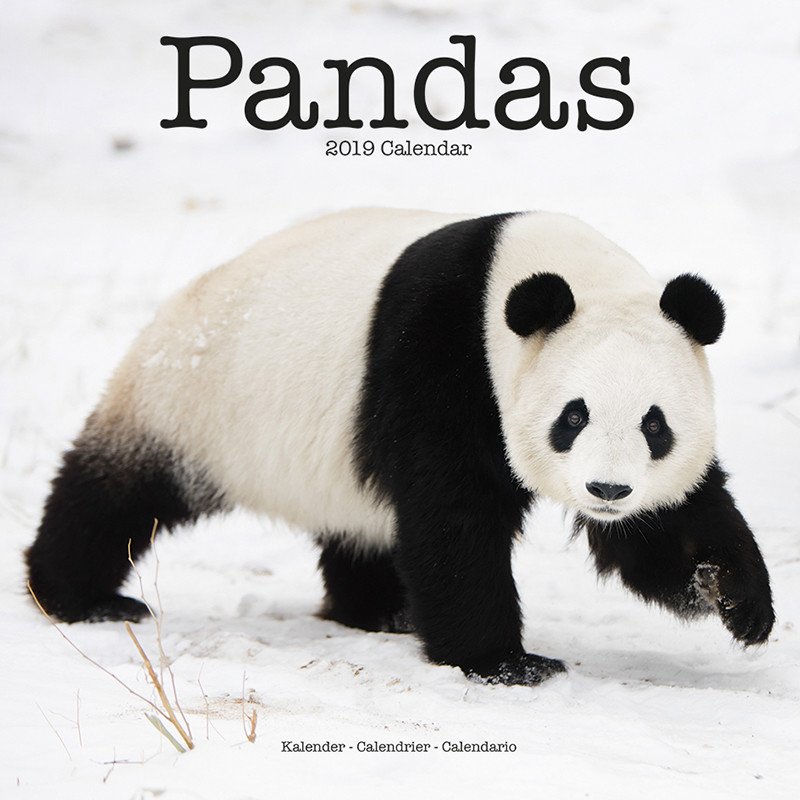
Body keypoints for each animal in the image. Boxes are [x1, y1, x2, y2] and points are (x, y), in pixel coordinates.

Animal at [26, 208, 775, 686]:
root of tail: (175, 308)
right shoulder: (440, 363)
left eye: (655, 425)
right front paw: (506, 663)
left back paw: (380, 609)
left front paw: (733, 599)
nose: (609, 491)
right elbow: (452, 520)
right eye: (573, 416)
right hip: (192, 405)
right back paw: (81, 597)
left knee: (359, 527)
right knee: (115, 497)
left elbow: (669, 526)